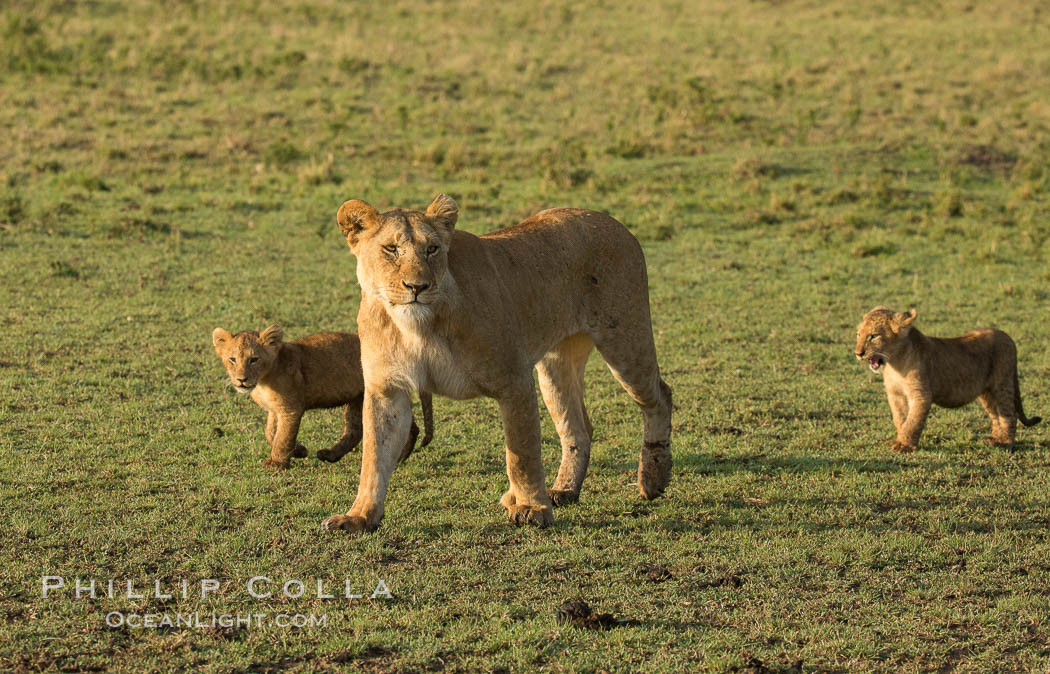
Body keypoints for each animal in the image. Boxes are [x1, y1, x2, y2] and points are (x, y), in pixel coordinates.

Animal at [212, 325, 433, 469]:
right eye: (232, 359)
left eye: (254, 359)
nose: (241, 380)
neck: (263, 379)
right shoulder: (275, 410)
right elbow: (271, 433)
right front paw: (299, 450)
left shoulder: (291, 408)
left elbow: (283, 436)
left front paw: (277, 463)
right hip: (357, 397)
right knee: (355, 430)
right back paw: (329, 455)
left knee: (408, 426)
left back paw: (398, 457)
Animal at [321, 194, 673, 534]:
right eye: (390, 249)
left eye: (432, 249)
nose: (416, 287)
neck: (418, 326)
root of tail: (610, 220)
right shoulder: (386, 391)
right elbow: (374, 458)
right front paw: (360, 516)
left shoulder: (514, 380)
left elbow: (522, 453)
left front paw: (531, 508)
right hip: (555, 366)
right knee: (578, 427)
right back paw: (564, 490)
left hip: (625, 343)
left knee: (660, 395)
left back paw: (653, 479)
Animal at [855, 307, 1040, 452]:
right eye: (858, 334)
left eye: (873, 336)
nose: (858, 353)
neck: (894, 363)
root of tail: (1007, 336)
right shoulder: (896, 395)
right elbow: (900, 419)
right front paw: (900, 439)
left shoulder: (921, 394)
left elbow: (912, 421)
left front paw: (904, 445)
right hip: (986, 393)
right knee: (996, 415)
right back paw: (994, 439)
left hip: (1002, 384)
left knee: (1009, 414)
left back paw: (1005, 443)